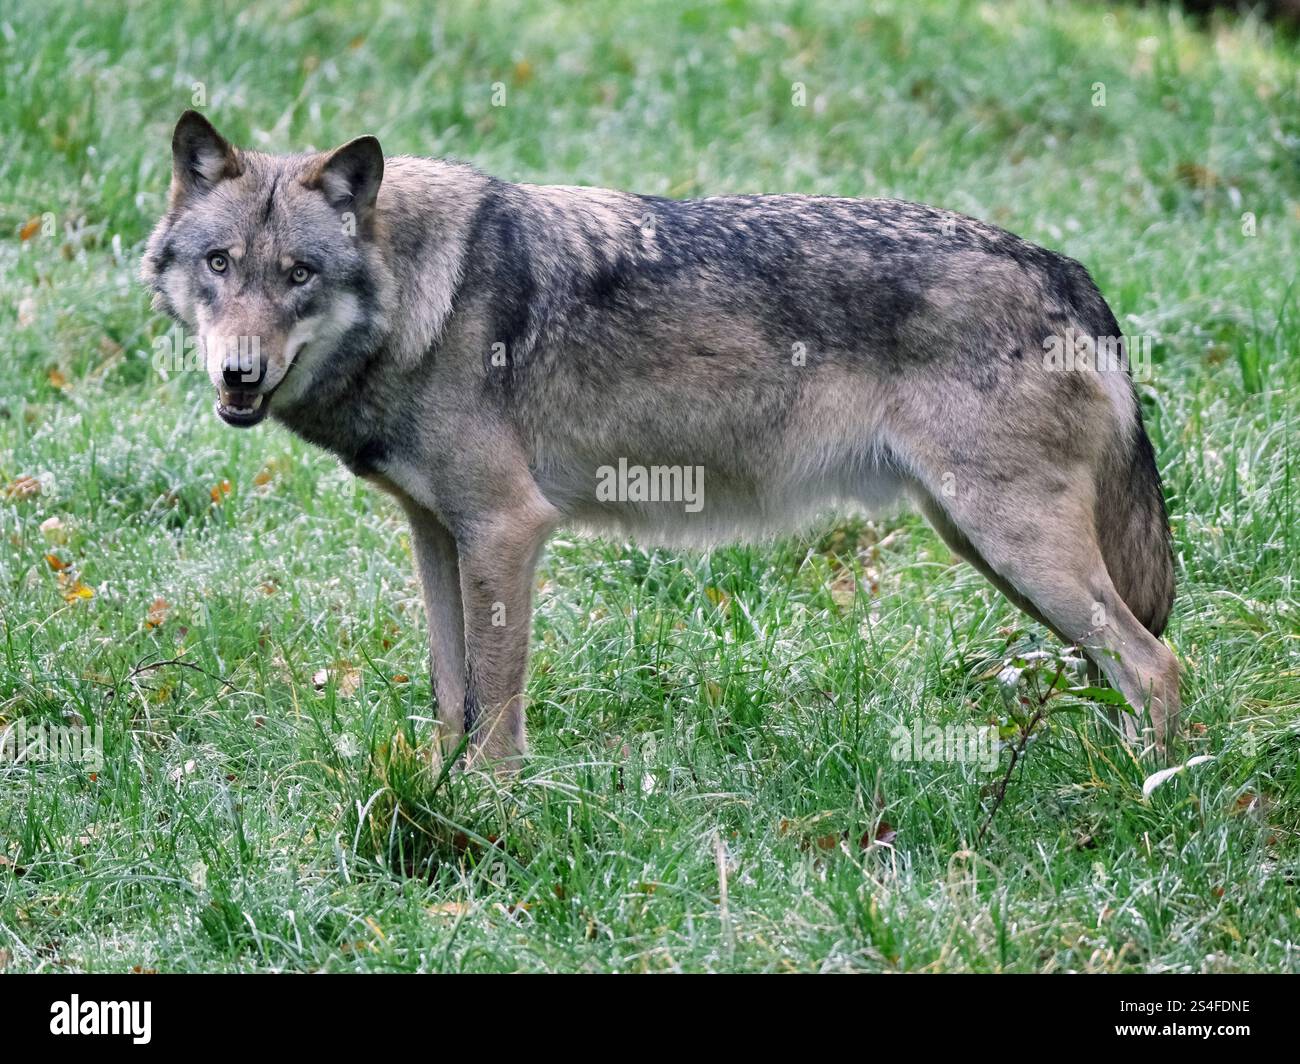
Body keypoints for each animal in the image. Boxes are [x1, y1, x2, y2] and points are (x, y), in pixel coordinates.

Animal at [142, 111, 1179, 769]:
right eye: (221, 265)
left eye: (299, 275)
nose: (239, 374)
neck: (421, 298)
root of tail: (1066, 269)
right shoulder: (439, 535)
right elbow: (450, 698)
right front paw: (434, 801)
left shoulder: (508, 530)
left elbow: (497, 711)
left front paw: (487, 817)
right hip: (989, 551)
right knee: (1122, 669)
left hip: (1015, 548)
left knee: (1157, 667)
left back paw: (1146, 799)